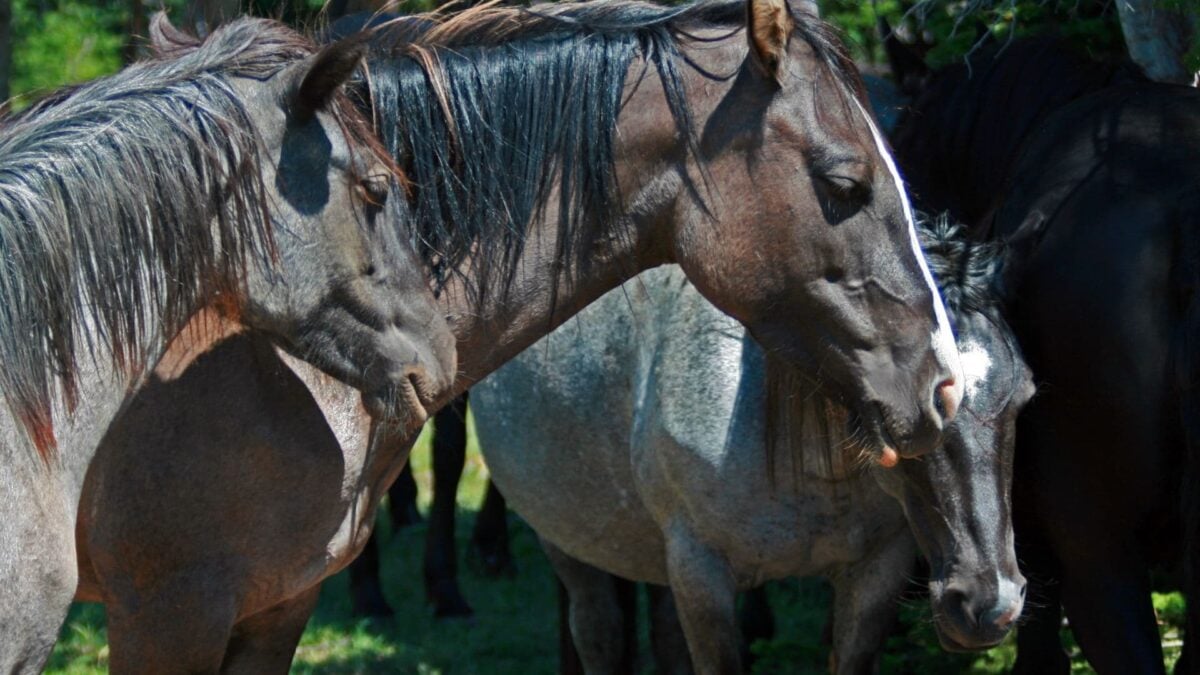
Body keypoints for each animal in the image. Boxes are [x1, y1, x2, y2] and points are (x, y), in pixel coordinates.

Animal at [469, 212, 1032, 673]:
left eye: (1024, 396)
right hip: (566, 539)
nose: (990, 605)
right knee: (599, 633)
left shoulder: (878, 571)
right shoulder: (702, 576)